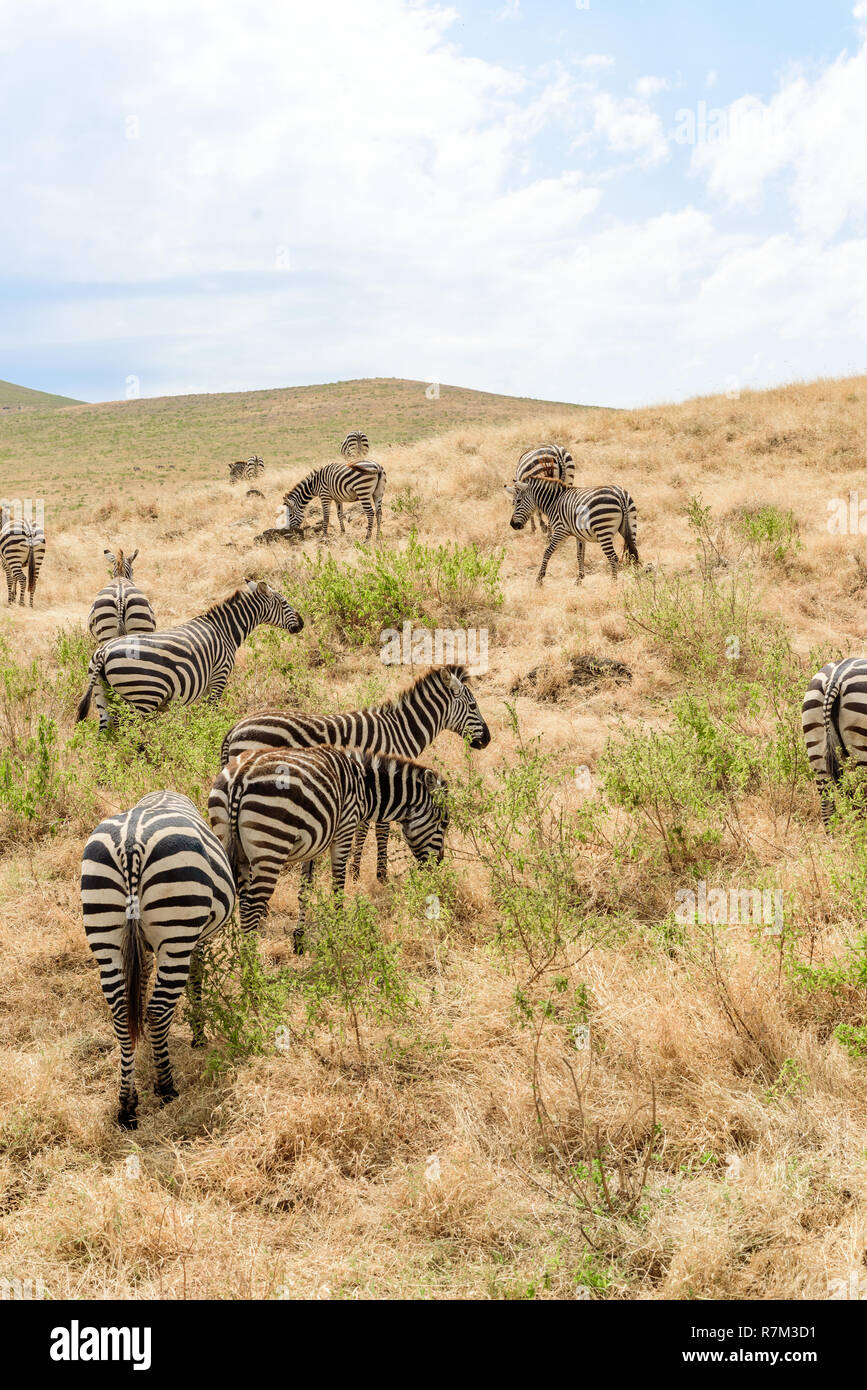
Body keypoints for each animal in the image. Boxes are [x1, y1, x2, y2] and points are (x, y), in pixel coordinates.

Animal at [76, 578, 304, 731]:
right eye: (284, 603)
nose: (301, 624)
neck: (225, 631)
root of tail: (103, 651)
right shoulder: (219, 675)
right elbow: (212, 711)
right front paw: (210, 734)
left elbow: (199, 715)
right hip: (143, 695)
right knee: (129, 731)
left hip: (101, 692)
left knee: (105, 730)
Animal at [81, 790, 236, 1128]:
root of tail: (130, 842)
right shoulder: (195, 940)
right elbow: (196, 982)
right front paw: (198, 1036)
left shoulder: (137, 946)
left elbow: (138, 984)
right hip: (177, 926)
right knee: (158, 1010)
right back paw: (165, 1087)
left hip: (105, 934)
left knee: (121, 1014)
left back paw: (127, 1104)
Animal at [209, 747, 448, 952]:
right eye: (444, 823)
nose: (438, 865)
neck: (365, 787)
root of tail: (241, 777)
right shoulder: (345, 829)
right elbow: (338, 884)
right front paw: (340, 931)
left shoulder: (312, 844)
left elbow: (304, 890)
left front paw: (299, 939)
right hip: (271, 846)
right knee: (251, 908)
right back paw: (251, 969)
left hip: (230, 841)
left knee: (243, 903)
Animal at [219, 664, 490, 882]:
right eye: (474, 706)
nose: (487, 740)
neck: (399, 731)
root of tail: (234, 728)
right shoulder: (381, 783)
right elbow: (380, 832)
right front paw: (379, 876)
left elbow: (362, 830)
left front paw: (355, 871)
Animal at [505, 477, 639, 586]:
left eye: (518, 501)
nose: (513, 525)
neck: (554, 502)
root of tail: (620, 496)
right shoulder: (579, 535)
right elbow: (580, 555)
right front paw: (579, 579)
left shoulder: (560, 530)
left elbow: (547, 552)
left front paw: (539, 578)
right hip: (631, 526)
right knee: (634, 554)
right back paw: (637, 580)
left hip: (603, 531)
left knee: (613, 557)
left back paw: (613, 583)